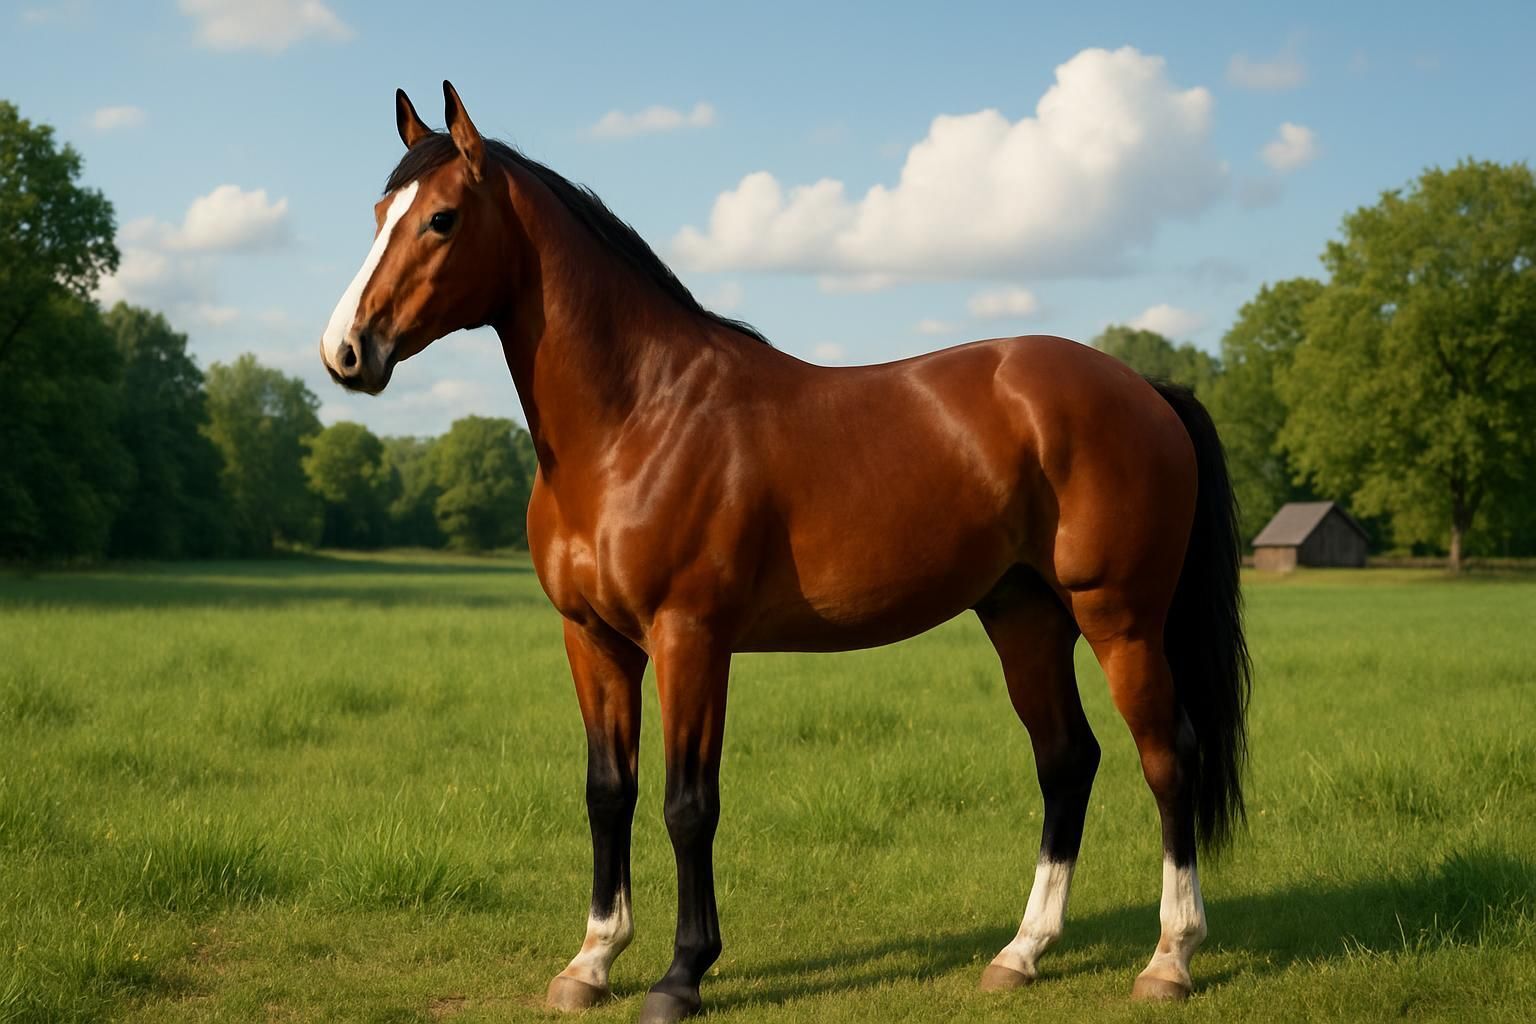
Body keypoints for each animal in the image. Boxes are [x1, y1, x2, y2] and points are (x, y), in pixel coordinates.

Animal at [320, 82, 1250, 1024]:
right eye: (378, 214)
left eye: (440, 219)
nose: (346, 351)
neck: (638, 418)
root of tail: (1145, 389)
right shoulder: (594, 641)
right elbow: (607, 793)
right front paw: (591, 962)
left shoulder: (691, 639)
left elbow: (688, 804)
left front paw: (682, 974)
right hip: (1022, 615)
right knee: (1066, 761)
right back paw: (1021, 953)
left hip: (1120, 620)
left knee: (1167, 756)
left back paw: (1170, 959)